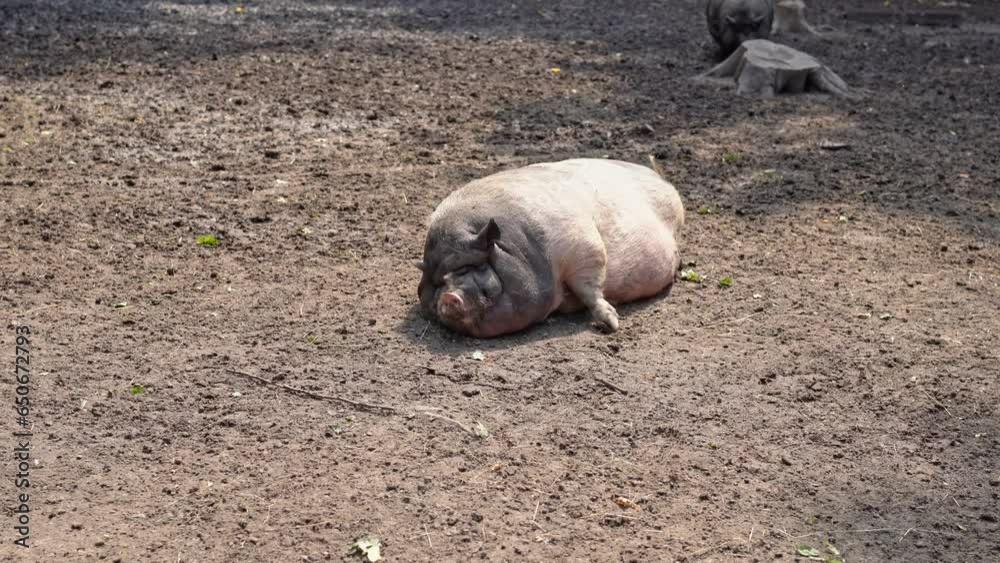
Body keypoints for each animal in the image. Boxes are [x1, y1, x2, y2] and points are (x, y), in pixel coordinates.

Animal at [416, 158, 685, 338]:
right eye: (441, 281)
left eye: (477, 268)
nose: (448, 297)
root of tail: (664, 183)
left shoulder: (583, 244)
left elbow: (591, 287)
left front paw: (611, 324)